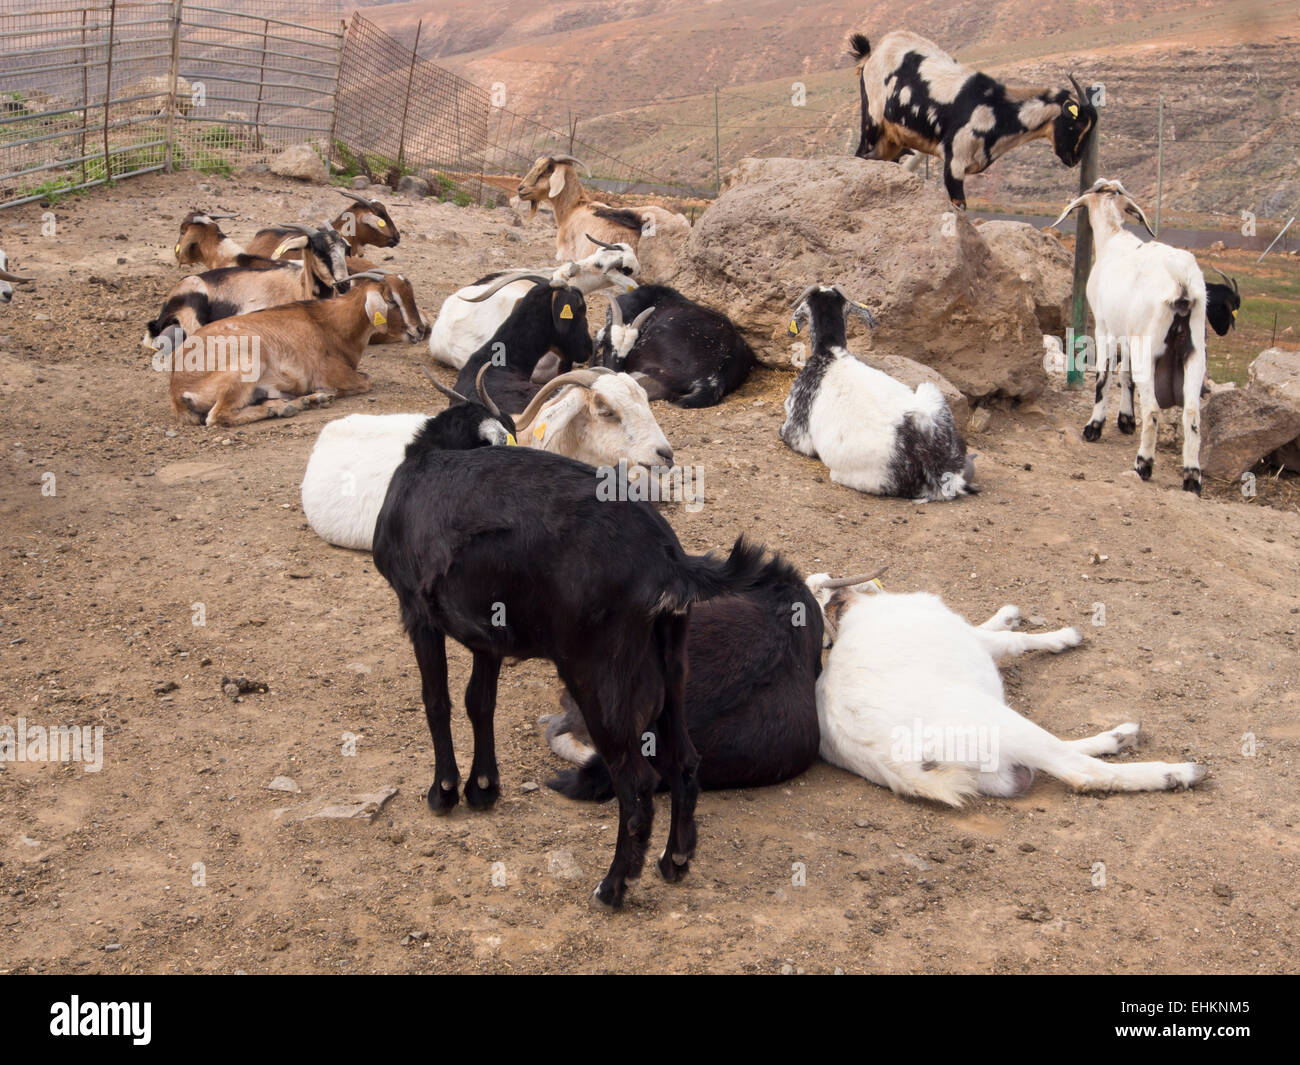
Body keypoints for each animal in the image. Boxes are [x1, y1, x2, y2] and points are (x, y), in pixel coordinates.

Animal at [166, 270, 428, 427]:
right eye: (392, 300)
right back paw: (287, 407)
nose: (420, 330)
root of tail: (177, 389)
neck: (329, 323)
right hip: (248, 364)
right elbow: (366, 381)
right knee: (217, 416)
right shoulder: (331, 374)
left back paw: (302, 402)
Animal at [371, 433, 770, 907]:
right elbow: (479, 702)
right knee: (686, 762)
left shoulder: (417, 611)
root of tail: (669, 559)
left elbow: (437, 702)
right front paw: (482, 788)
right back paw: (674, 861)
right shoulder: (487, 634)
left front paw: (444, 792)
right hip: (670, 672)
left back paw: (613, 886)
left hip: (599, 680)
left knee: (637, 785)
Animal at [808, 572, 1207, 804]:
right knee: (1078, 770)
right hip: (997, 722)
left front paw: (1008, 614)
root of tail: (893, 761)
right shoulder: (971, 637)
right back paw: (1179, 772)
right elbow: (1012, 642)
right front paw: (1065, 636)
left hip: (995, 769)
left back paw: (1120, 737)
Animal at [851, 31, 1097, 209]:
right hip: (872, 122)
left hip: (890, 143)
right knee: (859, 155)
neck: (996, 110)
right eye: (1076, 124)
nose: (1074, 158)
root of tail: (872, 54)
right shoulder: (954, 164)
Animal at [1050, 179, 1208, 493]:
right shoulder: (1127, 333)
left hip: (1149, 347)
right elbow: (1126, 376)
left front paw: (1094, 426)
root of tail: (1182, 284)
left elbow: (1104, 377)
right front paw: (1125, 419)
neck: (1112, 238)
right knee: (1192, 414)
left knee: (1154, 410)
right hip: (1194, 352)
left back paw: (1143, 464)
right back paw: (1191, 477)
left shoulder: (1104, 327)